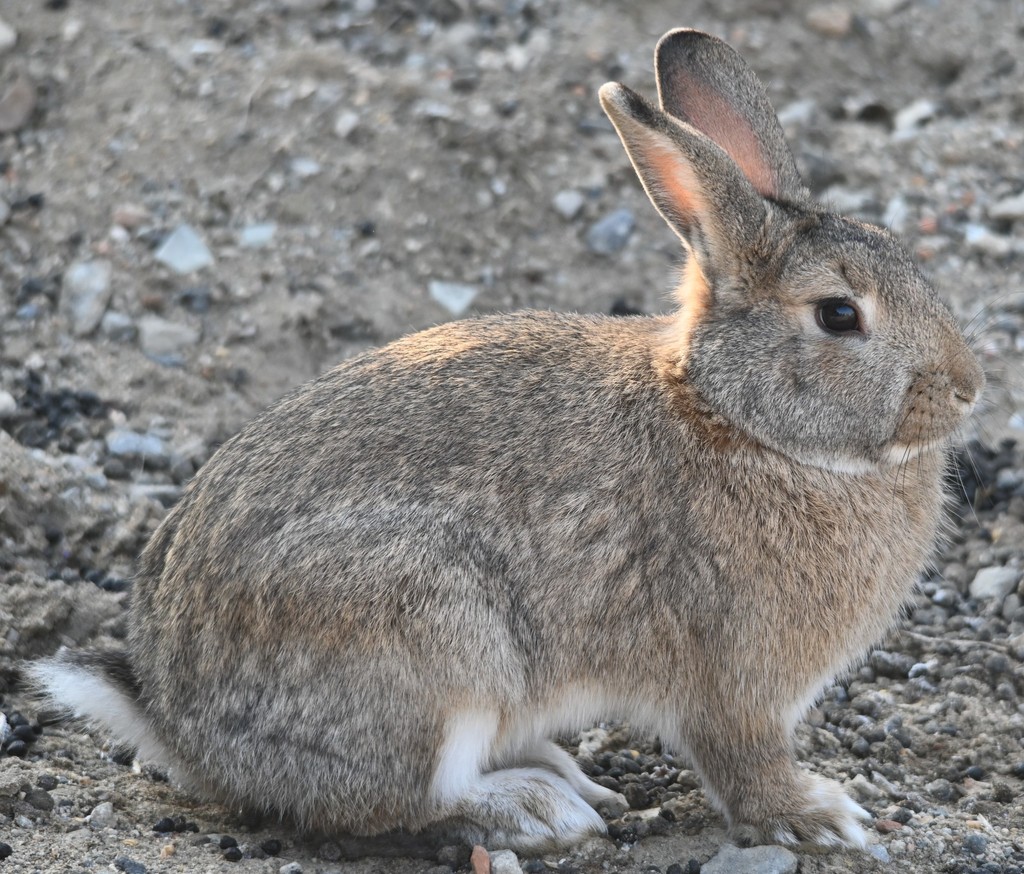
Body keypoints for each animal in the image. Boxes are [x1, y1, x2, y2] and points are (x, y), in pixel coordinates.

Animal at [30, 28, 983, 853]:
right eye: (838, 315)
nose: (967, 388)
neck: (738, 419)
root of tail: (175, 721)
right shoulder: (736, 681)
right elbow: (742, 763)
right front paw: (819, 816)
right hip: (432, 642)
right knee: (406, 799)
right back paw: (536, 806)